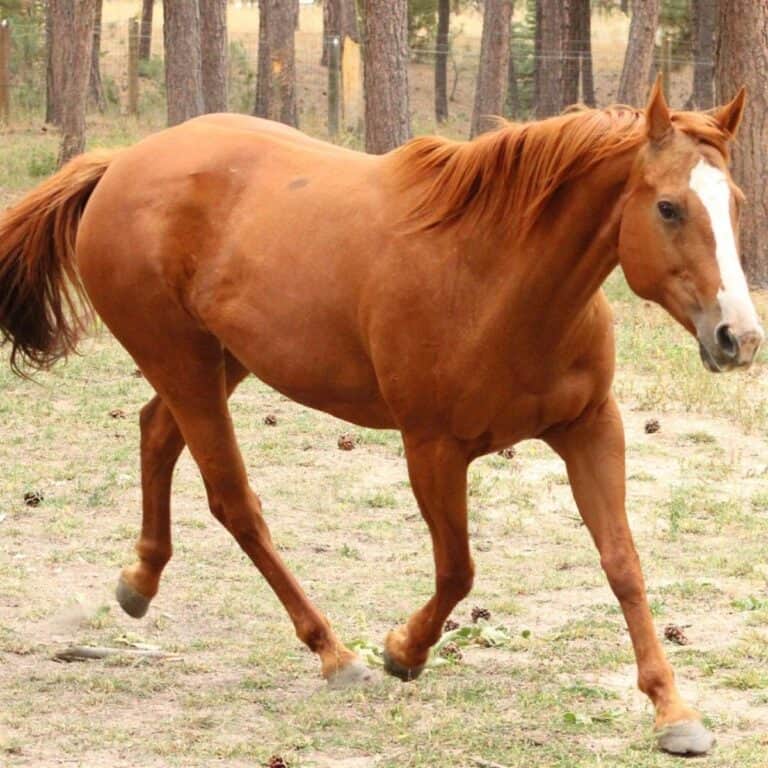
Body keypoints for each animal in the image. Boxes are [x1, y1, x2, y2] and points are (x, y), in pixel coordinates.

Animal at [0, 78, 761, 755]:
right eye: (668, 207)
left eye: (735, 204)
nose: (740, 337)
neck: (495, 278)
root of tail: (121, 163)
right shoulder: (432, 448)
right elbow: (458, 570)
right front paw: (403, 651)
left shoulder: (591, 429)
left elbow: (623, 564)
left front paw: (674, 711)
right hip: (183, 364)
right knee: (234, 502)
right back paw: (335, 653)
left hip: (220, 361)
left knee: (157, 434)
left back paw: (139, 582)